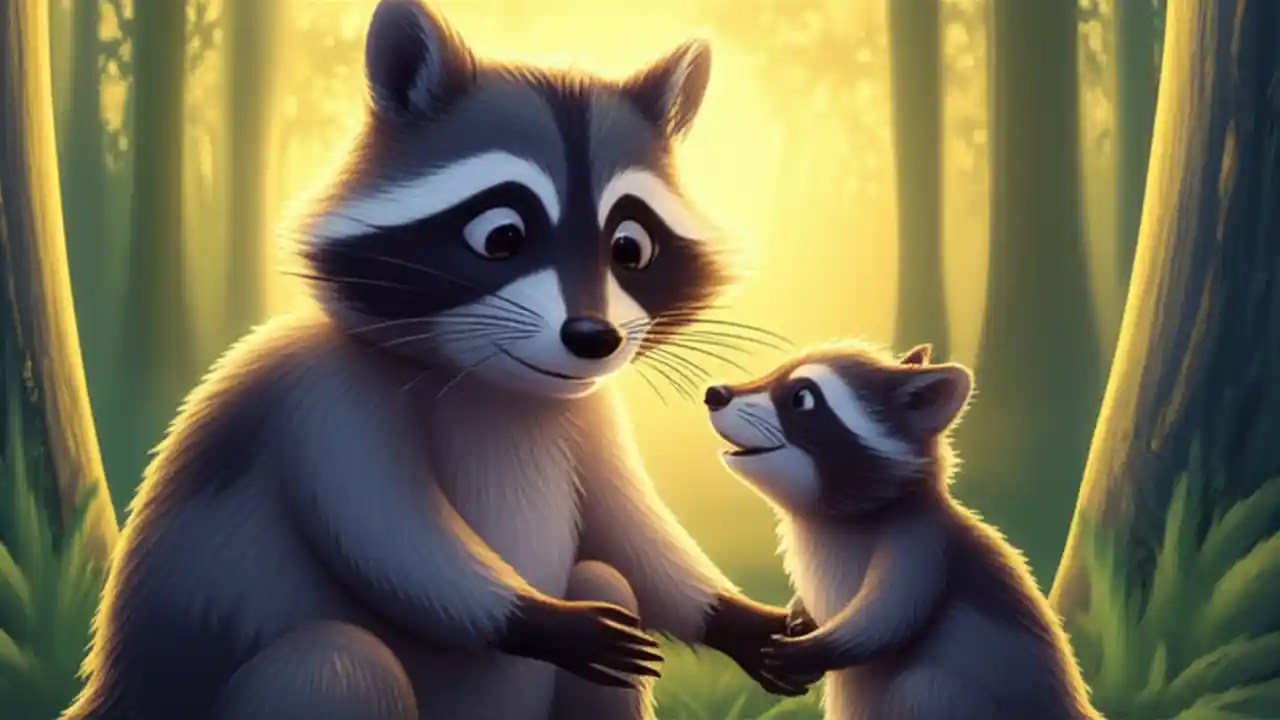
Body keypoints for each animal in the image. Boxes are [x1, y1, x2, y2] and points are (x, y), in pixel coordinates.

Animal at [63, 2, 805, 719]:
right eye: (501, 237)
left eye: (631, 248)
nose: (593, 338)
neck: (493, 387)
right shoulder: (321, 394)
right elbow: (390, 541)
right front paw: (538, 617)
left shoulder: (590, 411)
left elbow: (633, 538)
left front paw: (732, 615)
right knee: (339, 663)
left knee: (607, 578)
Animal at [704, 342, 1102, 720]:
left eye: (802, 398)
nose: (715, 392)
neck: (827, 516)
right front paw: (800, 613)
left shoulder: (921, 540)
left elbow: (889, 618)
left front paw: (819, 647)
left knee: (921, 688)